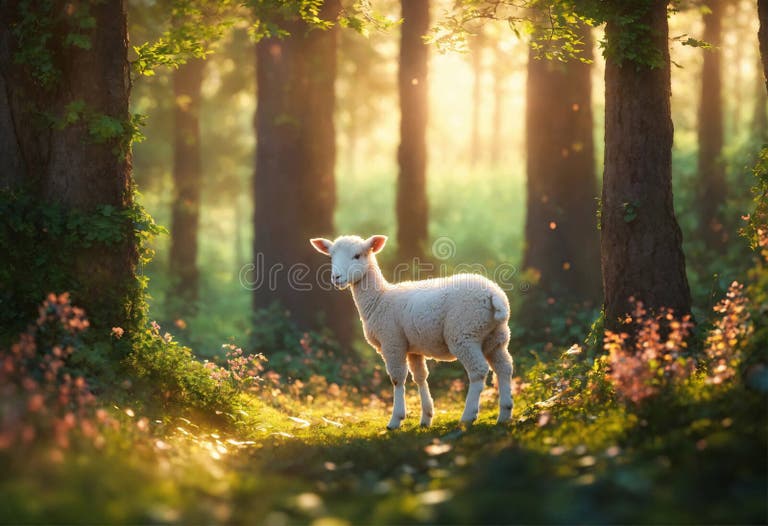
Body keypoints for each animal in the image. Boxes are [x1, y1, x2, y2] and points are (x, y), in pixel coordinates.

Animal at [310, 234, 514, 429]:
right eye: (331, 256)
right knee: (504, 368)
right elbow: (420, 377)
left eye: (357, 255)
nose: (336, 277)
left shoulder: (392, 341)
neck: (379, 299)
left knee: (478, 371)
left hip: (464, 333)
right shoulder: (414, 347)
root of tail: (494, 295)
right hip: (496, 337)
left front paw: (396, 420)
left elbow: (397, 379)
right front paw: (426, 418)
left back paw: (468, 417)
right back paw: (504, 414)